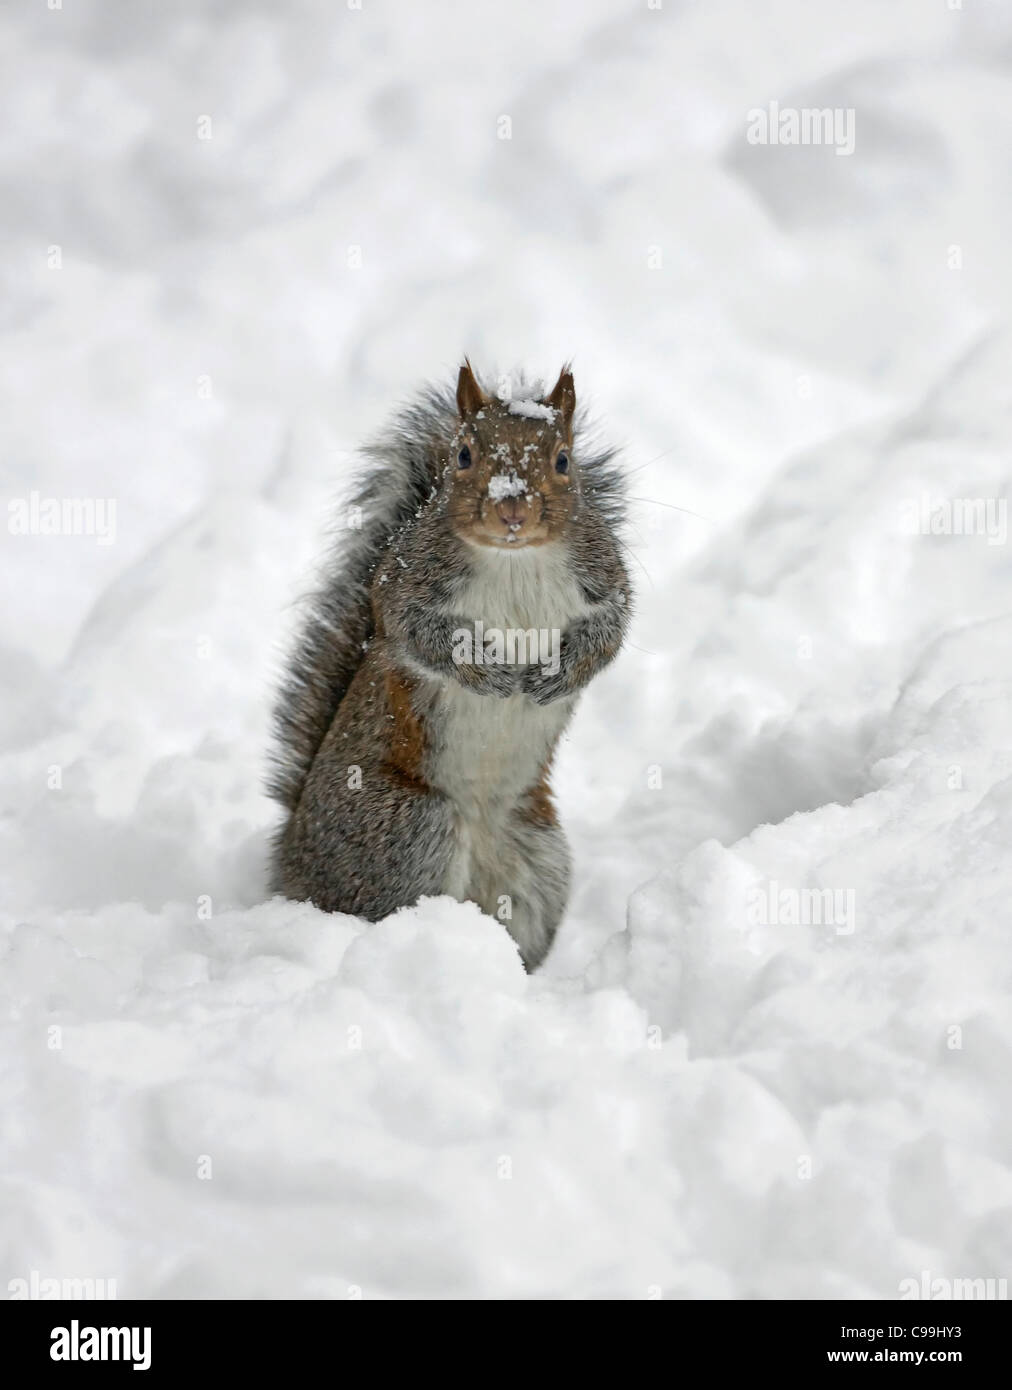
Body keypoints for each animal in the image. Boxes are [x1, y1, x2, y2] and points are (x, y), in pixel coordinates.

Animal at [267, 361, 631, 970]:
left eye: (563, 459)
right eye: (463, 454)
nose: (512, 508)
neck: (515, 559)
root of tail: (290, 865)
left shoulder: (605, 580)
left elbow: (610, 635)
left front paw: (554, 675)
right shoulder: (402, 584)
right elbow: (419, 634)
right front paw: (489, 670)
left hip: (540, 857)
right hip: (410, 829)